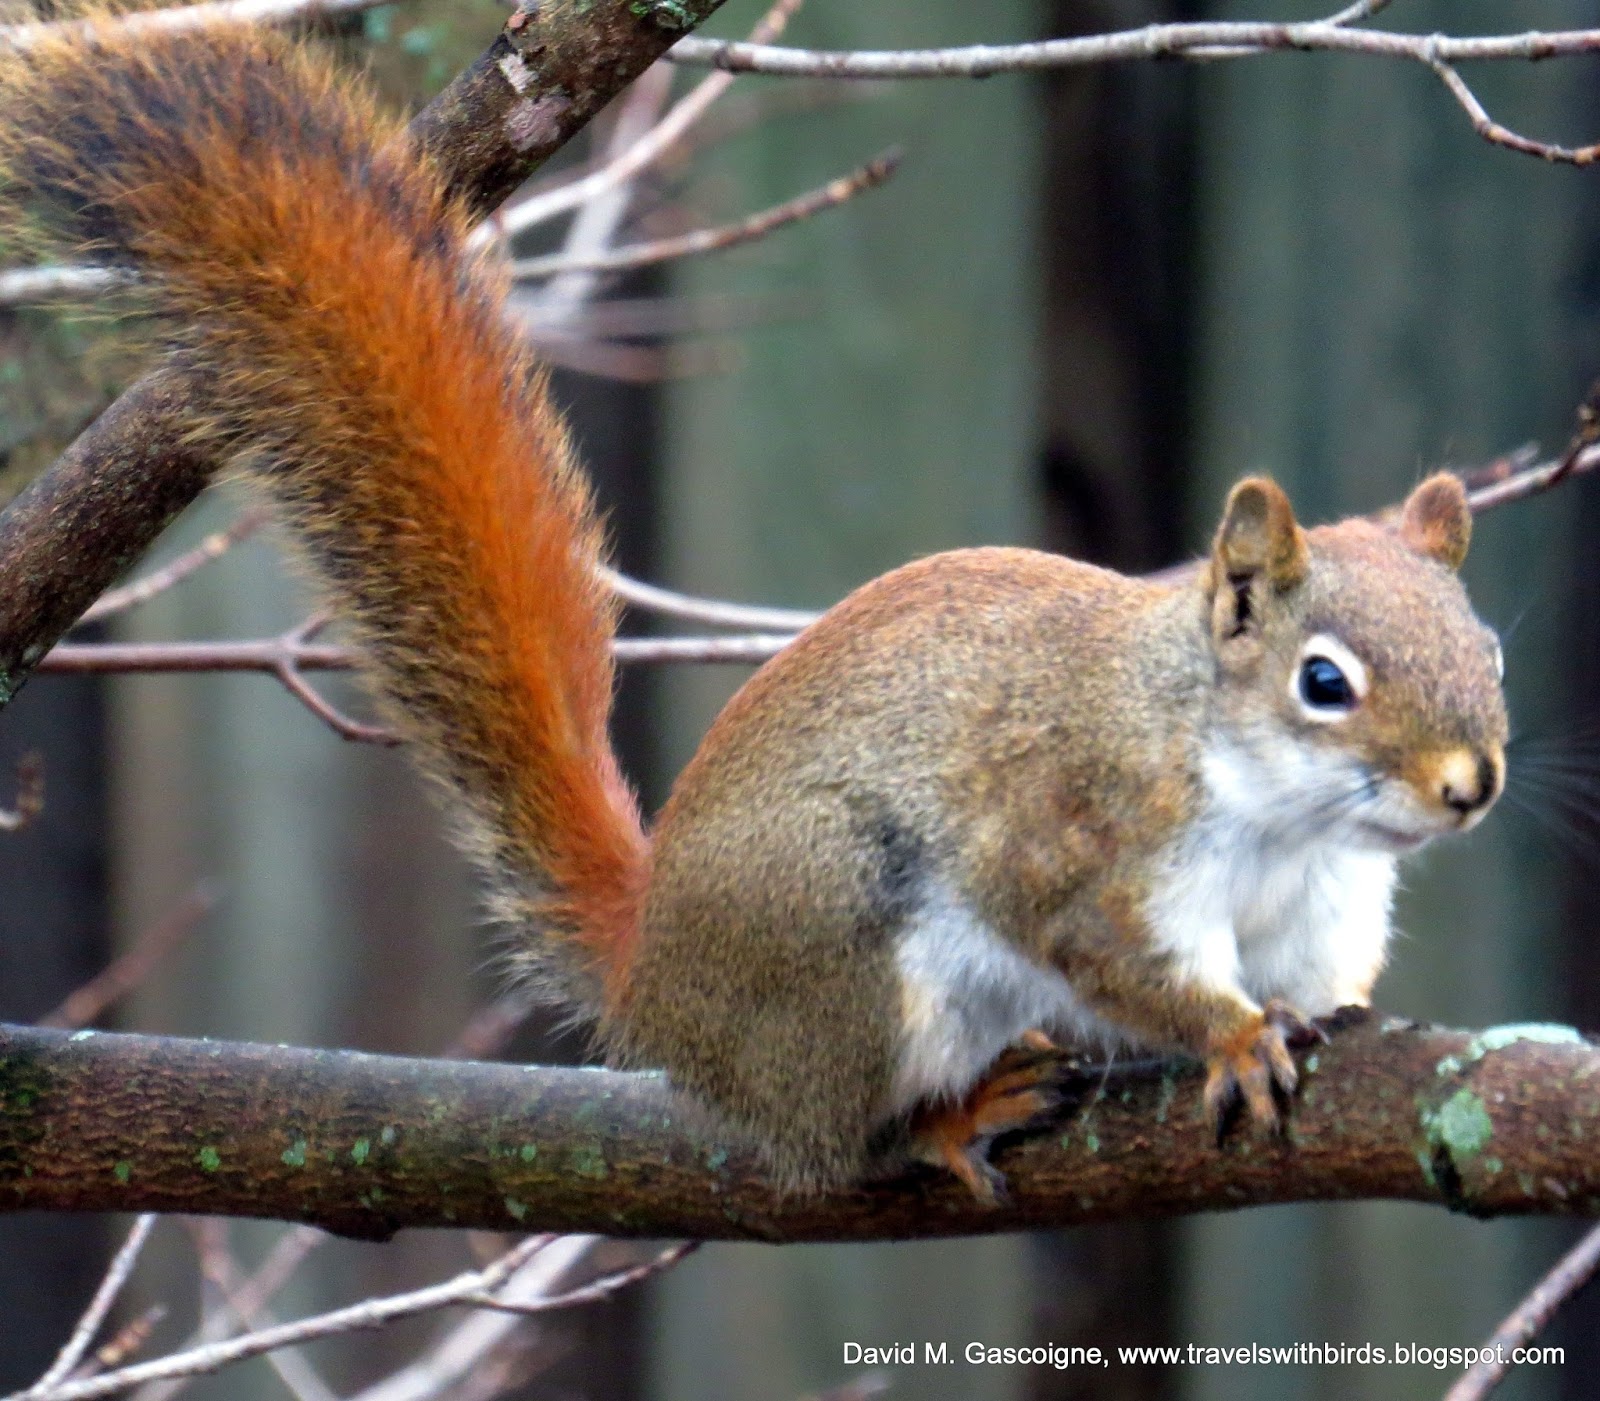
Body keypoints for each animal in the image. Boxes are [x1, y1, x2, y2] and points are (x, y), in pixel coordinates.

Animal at [0, 21, 1510, 1201]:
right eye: (1325, 681)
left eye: (1490, 649)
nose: (1471, 787)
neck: (1272, 809)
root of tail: (652, 976)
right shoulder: (1085, 838)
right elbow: (1114, 956)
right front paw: (1228, 1036)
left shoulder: (1325, 907)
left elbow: (1319, 979)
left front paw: (1320, 1017)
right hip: (841, 944)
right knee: (843, 1143)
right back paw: (959, 1108)